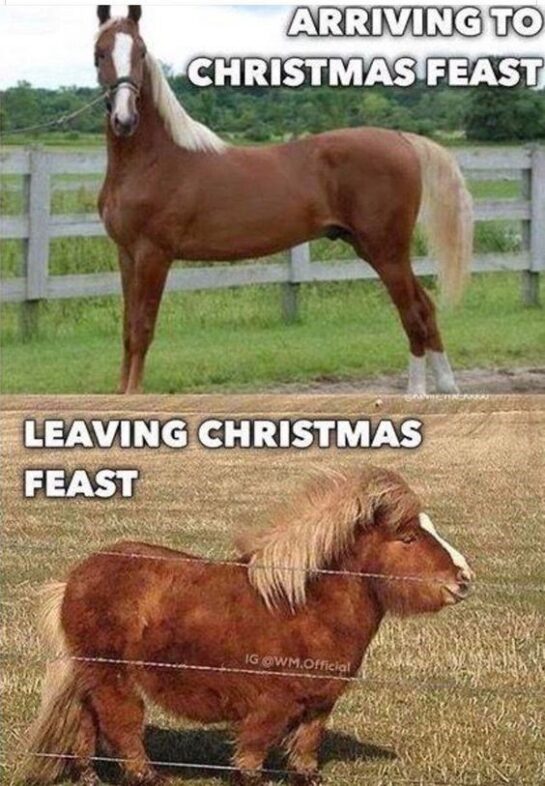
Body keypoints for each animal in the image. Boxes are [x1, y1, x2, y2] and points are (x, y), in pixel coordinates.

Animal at [20, 466, 473, 786]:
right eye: (408, 538)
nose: (464, 578)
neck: (305, 605)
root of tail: (75, 577)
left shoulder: (319, 703)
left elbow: (307, 749)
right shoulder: (271, 704)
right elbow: (252, 756)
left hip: (89, 675)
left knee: (86, 722)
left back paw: (89, 775)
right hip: (111, 675)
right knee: (122, 725)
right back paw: (146, 775)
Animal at [94, 6, 474, 395]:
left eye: (140, 52)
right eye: (100, 52)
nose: (125, 118)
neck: (156, 160)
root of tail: (402, 139)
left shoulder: (154, 254)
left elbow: (142, 328)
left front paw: (132, 395)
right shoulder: (127, 254)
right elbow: (127, 329)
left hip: (387, 251)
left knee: (412, 313)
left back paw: (417, 391)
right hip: (370, 247)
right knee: (425, 307)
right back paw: (447, 385)